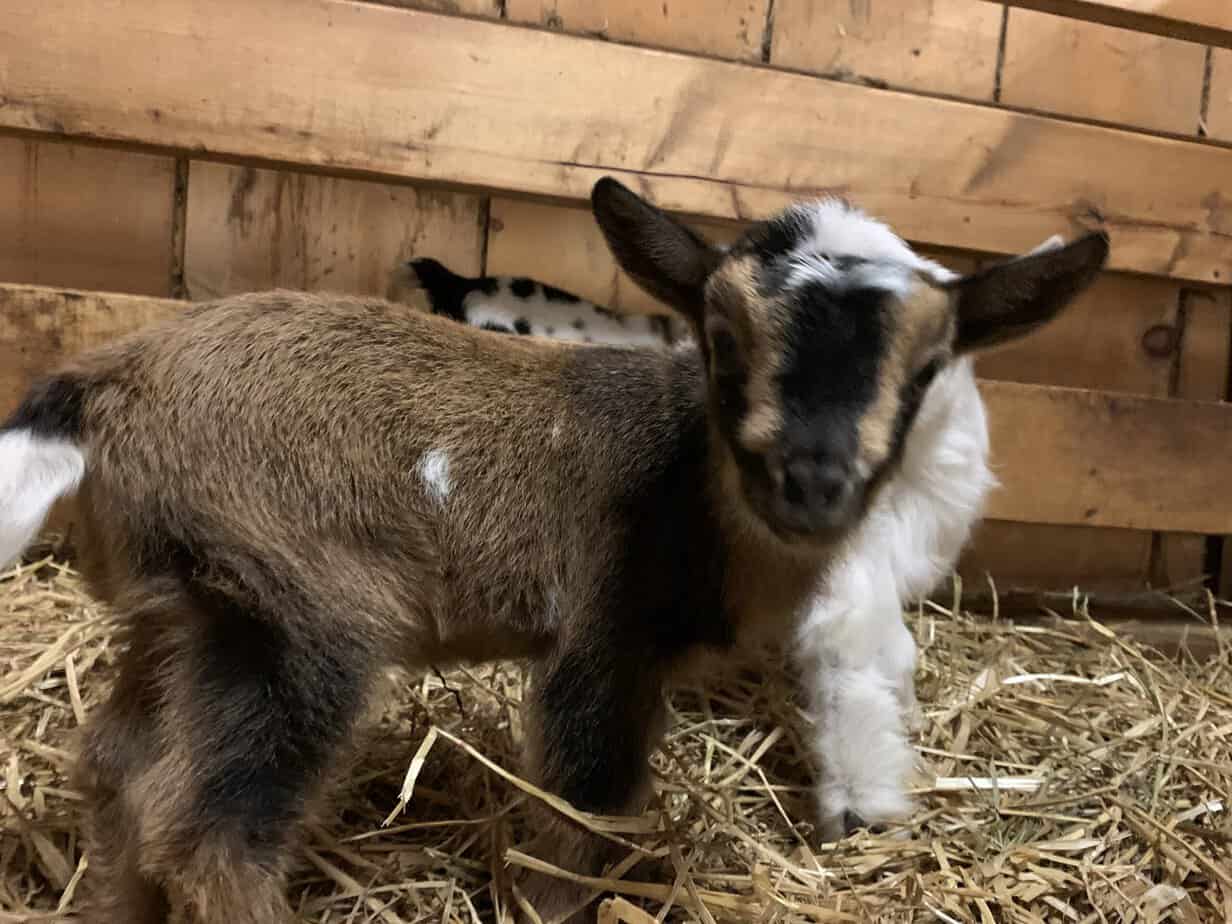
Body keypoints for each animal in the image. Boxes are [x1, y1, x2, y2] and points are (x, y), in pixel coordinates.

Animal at [0, 177, 1107, 923]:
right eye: (721, 337)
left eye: (926, 370)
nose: (810, 481)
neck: (692, 485)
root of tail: (99, 394)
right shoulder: (603, 640)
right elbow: (583, 818)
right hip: (294, 611)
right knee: (210, 832)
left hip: (186, 606)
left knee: (118, 774)